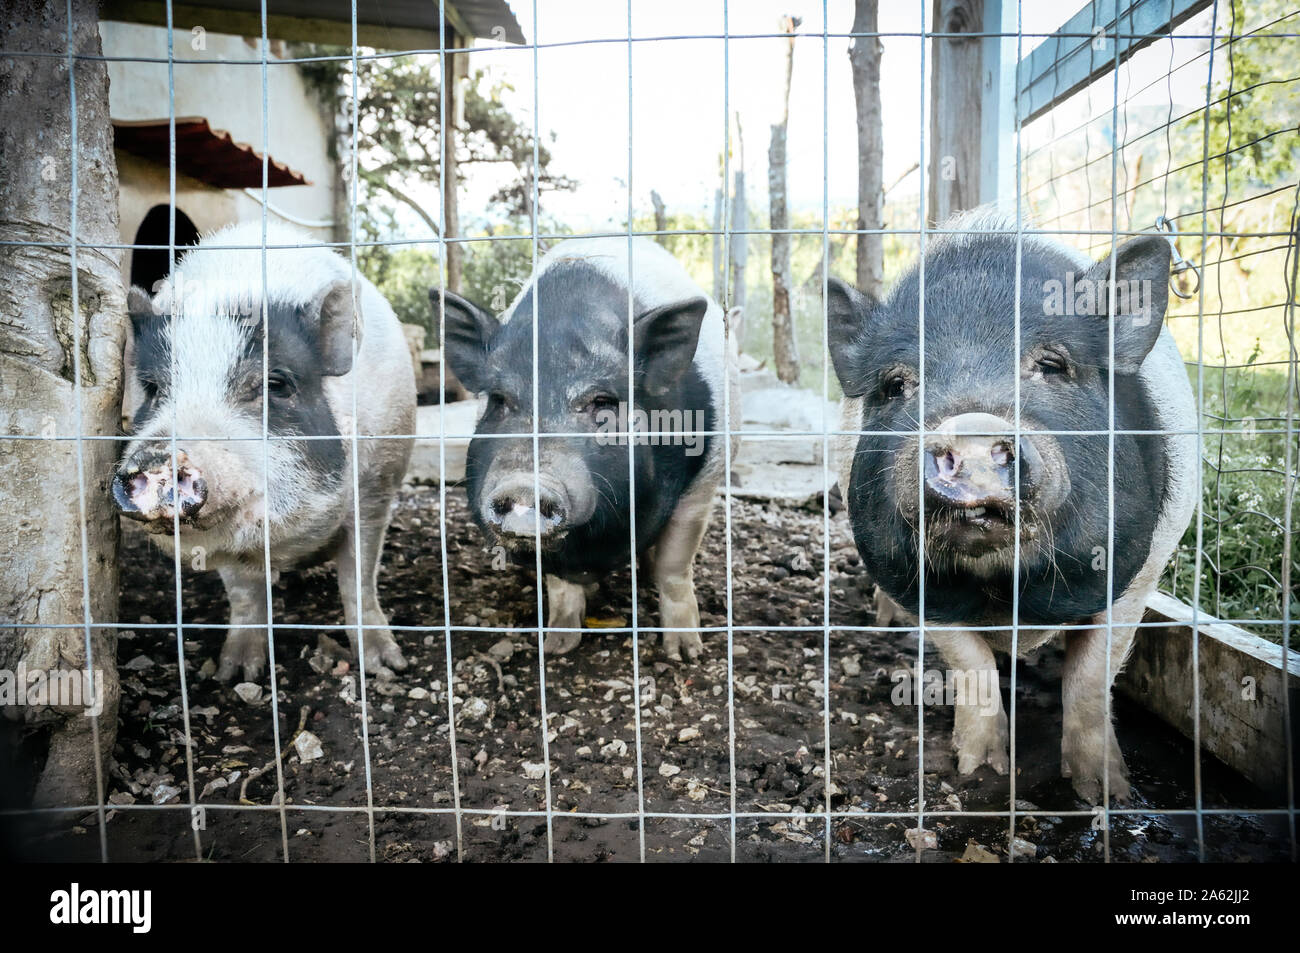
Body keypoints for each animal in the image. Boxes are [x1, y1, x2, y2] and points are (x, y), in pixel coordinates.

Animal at [113, 222, 416, 683]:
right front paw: (234, 675)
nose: (156, 459)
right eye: (152, 388)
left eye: (276, 384)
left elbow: (358, 576)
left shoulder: (376, 486)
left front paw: (386, 668)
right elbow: (244, 593)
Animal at [437, 237, 740, 660]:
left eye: (603, 402)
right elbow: (560, 585)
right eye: (498, 400)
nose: (524, 485)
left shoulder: (704, 481)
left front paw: (685, 652)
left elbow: (674, 565)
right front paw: (556, 646)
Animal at [827, 208, 1197, 803]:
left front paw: (1105, 794)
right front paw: (978, 771)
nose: (973, 433)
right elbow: (970, 663)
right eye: (896, 383)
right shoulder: (917, 586)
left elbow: (1091, 677)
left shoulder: (1141, 573)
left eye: (1052, 364)